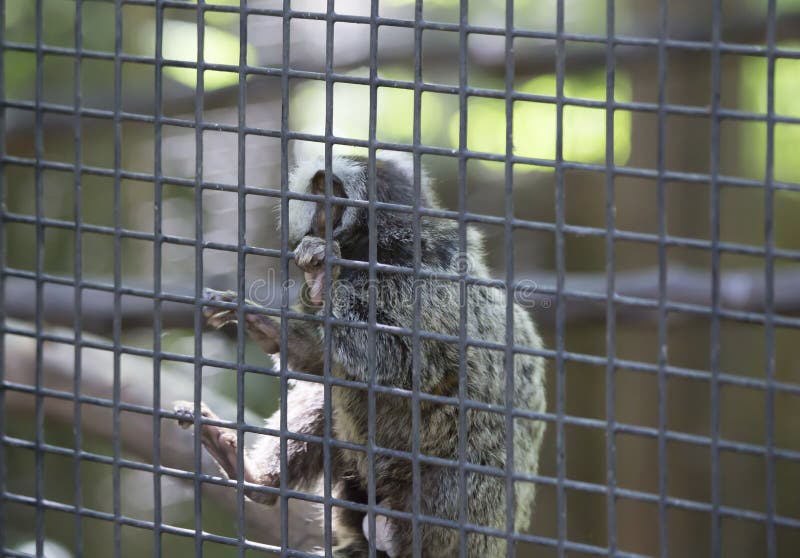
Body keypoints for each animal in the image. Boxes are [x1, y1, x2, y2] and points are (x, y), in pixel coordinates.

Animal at [173, 153, 547, 557]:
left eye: (329, 194)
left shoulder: (421, 285)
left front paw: (326, 279)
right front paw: (262, 323)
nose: (321, 209)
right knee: (328, 401)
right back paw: (254, 478)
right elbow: (319, 362)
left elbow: (398, 360)